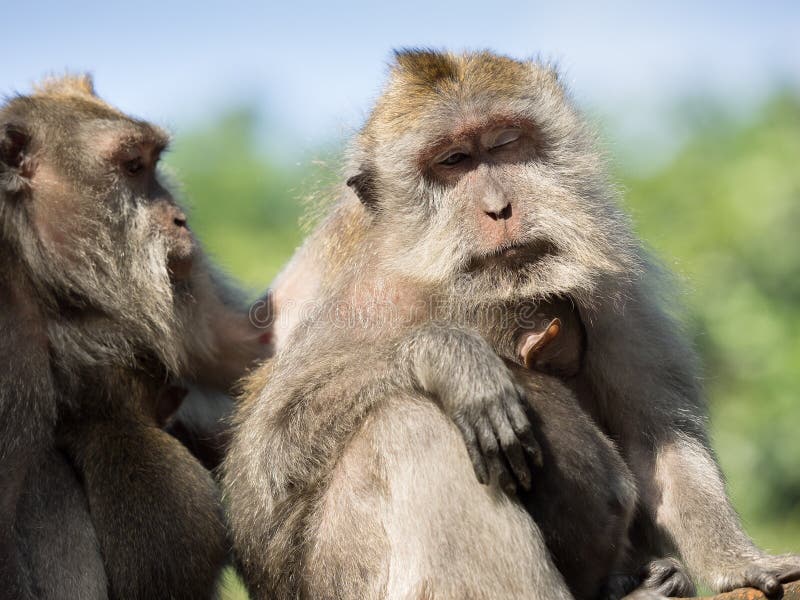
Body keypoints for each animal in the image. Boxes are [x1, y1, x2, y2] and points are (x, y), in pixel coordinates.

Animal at [225, 49, 800, 599]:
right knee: (408, 421)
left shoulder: (614, 284)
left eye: (504, 144)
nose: (499, 207)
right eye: (453, 162)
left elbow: (656, 437)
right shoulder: (372, 294)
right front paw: (449, 356)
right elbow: (268, 461)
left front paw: (738, 561)